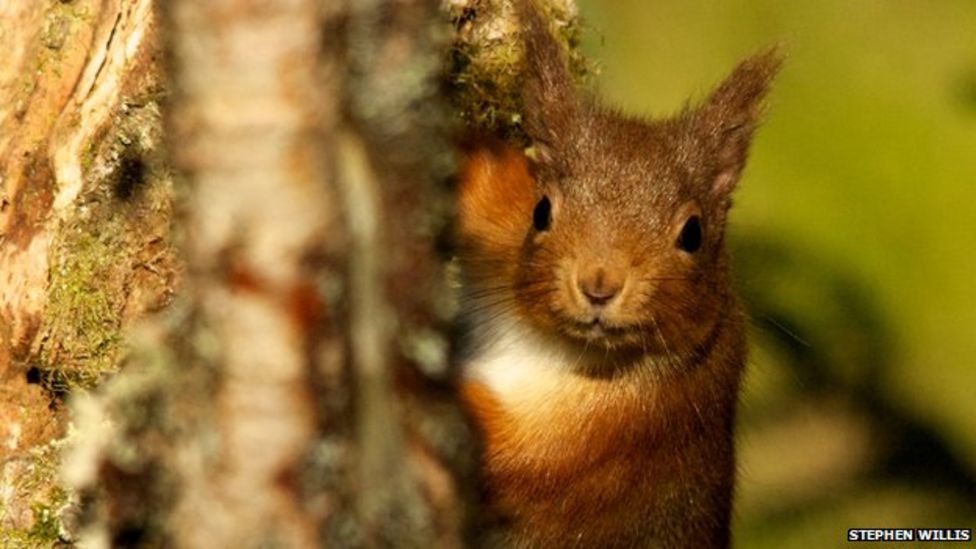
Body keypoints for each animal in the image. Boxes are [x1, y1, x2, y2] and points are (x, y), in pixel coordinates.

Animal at [454, 1, 781, 547]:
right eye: (542, 211)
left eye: (693, 234)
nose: (598, 286)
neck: (555, 342)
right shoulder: (503, 225)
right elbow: (486, 181)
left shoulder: (610, 438)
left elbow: (501, 445)